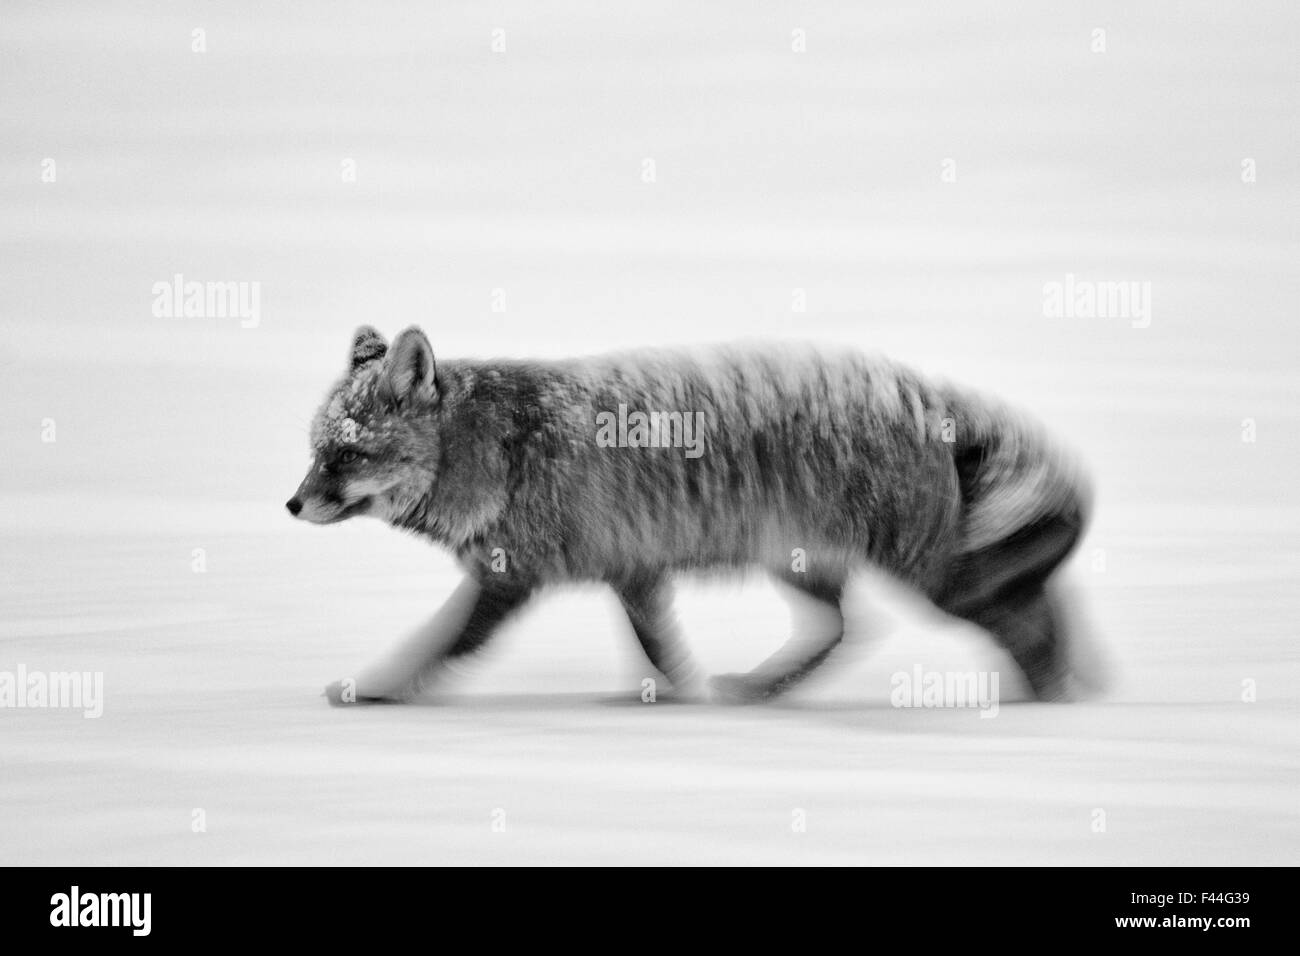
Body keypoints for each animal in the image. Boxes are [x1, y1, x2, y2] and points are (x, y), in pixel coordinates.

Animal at [288, 325, 1093, 706]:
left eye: (346, 457)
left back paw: (1060, 706)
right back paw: (759, 691)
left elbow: (432, 648)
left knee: (1026, 616)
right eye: (316, 453)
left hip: (927, 579)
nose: (292, 504)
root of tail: (920, 392)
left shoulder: (512, 580)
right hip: (804, 566)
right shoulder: (634, 573)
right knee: (850, 631)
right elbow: (662, 658)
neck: (502, 454)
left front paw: (373, 690)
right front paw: (678, 701)